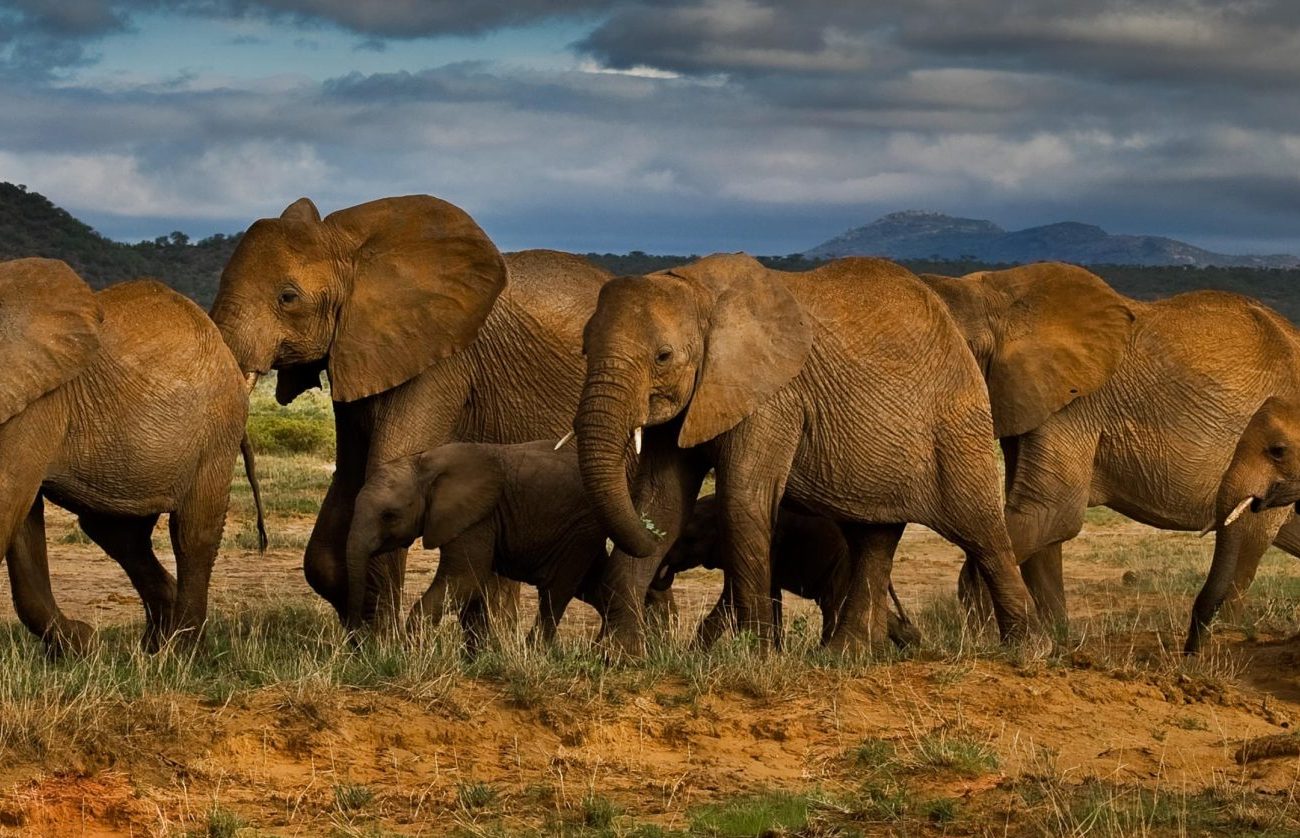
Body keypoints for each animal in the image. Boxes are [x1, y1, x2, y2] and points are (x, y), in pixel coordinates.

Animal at [0, 258, 261, 653]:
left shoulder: (37, 404)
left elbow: (9, 500)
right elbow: (22, 516)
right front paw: (82, 647)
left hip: (218, 430)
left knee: (191, 533)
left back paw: (180, 651)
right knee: (119, 534)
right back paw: (154, 643)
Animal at [209, 195, 610, 627]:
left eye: (288, 298)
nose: (261, 539)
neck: (351, 247)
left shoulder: (439, 363)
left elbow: (385, 475)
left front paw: (384, 640)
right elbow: (345, 493)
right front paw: (360, 633)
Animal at [647, 494, 920, 648]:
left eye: (689, 539)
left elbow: (736, 596)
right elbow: (766, 594)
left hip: (842, 562)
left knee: (834, 604)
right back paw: (913, 645)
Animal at [920, 263, 1300, 651]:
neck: (998, 293)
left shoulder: (1076, 405)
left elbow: (1053, 512)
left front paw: (981, 644)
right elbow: (1042, 519)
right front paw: (1057, 639)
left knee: (1250, 538)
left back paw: (1228, 634)